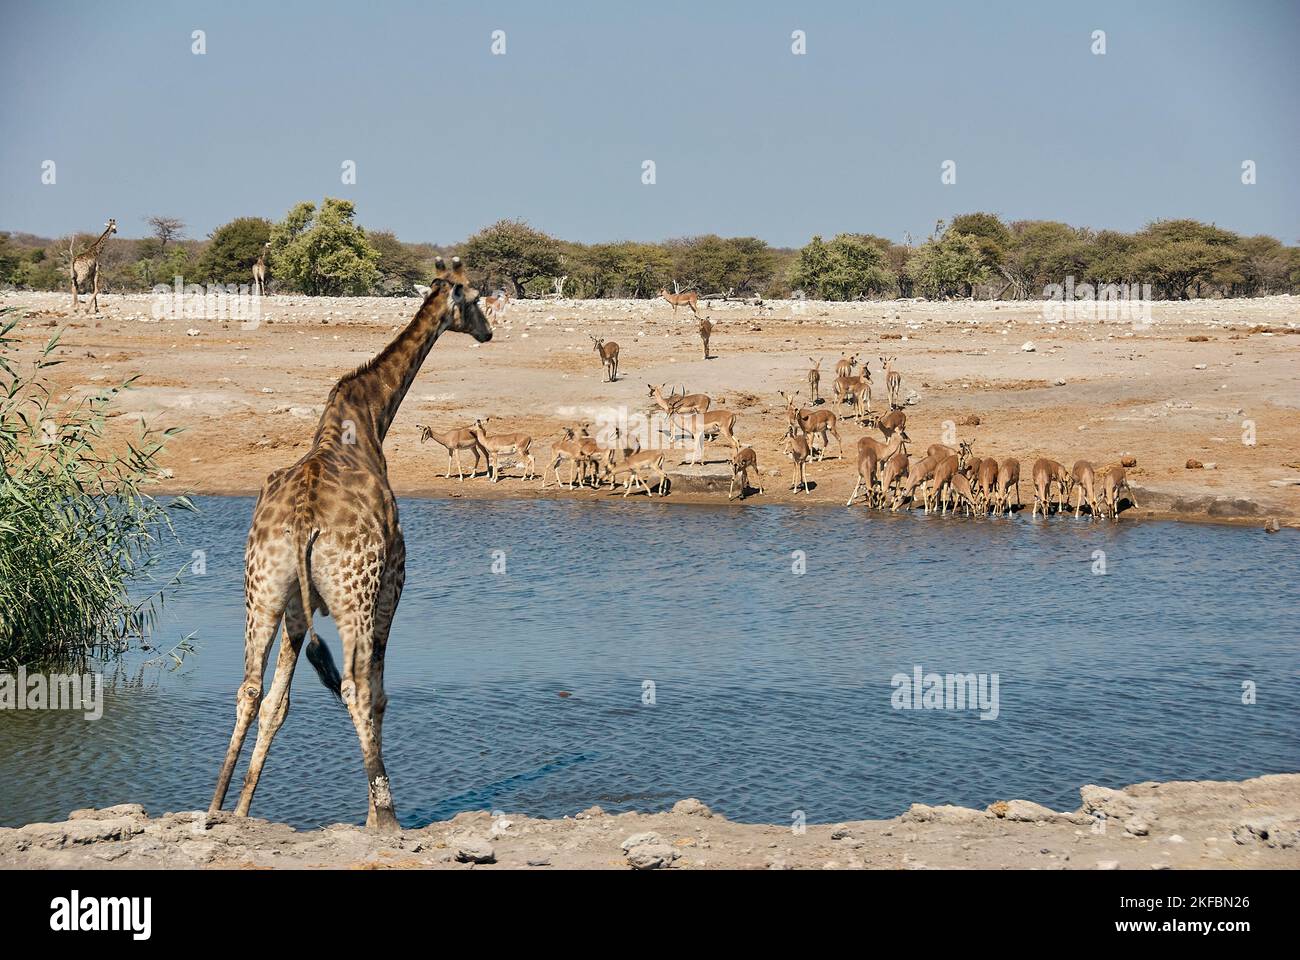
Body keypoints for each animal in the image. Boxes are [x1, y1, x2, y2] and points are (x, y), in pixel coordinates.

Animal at [209, 256, 492, 832]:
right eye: (475, 298)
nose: (488, 332)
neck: (368, 419)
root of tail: (301, 522)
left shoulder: (298, 608)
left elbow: (276, 702)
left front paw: (245, 807)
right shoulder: (392, 585)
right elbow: (377, 694)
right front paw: (371, 815)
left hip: (262, 591)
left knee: (249, 688)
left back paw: (215, 808)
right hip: (352, 596)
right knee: (354, 688)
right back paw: (388, 815)